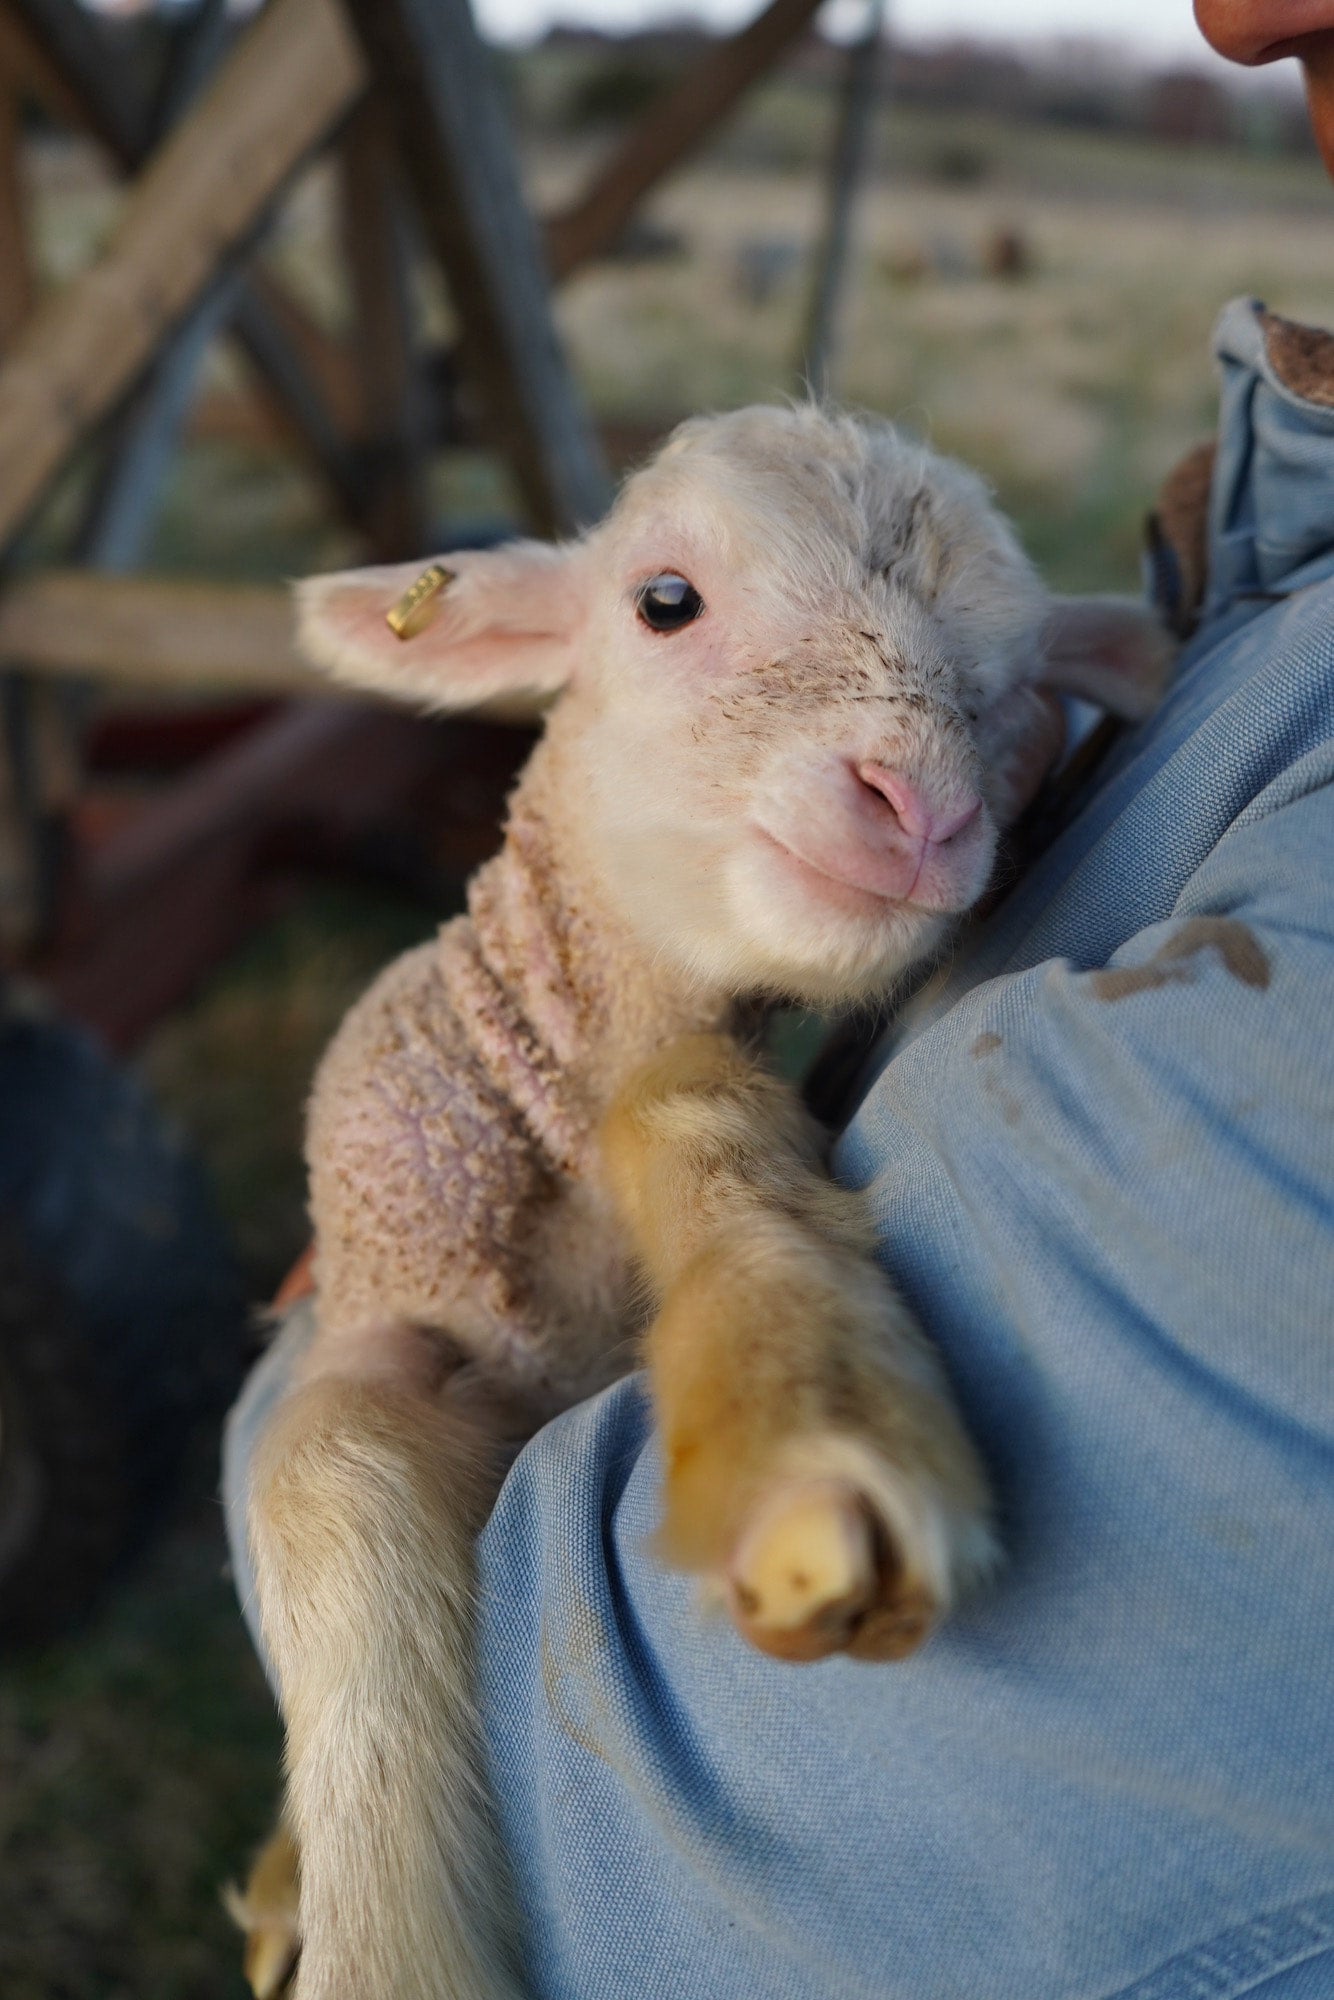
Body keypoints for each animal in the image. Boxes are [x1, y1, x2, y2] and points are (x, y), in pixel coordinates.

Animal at [234, 404, 1170, 2000]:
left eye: (1012, 695)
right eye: (662, 599)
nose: (919, 806)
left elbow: (685, 1110)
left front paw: (793, 1419)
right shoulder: (369, 1289)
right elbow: (318, 1473)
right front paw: (378, 1940)